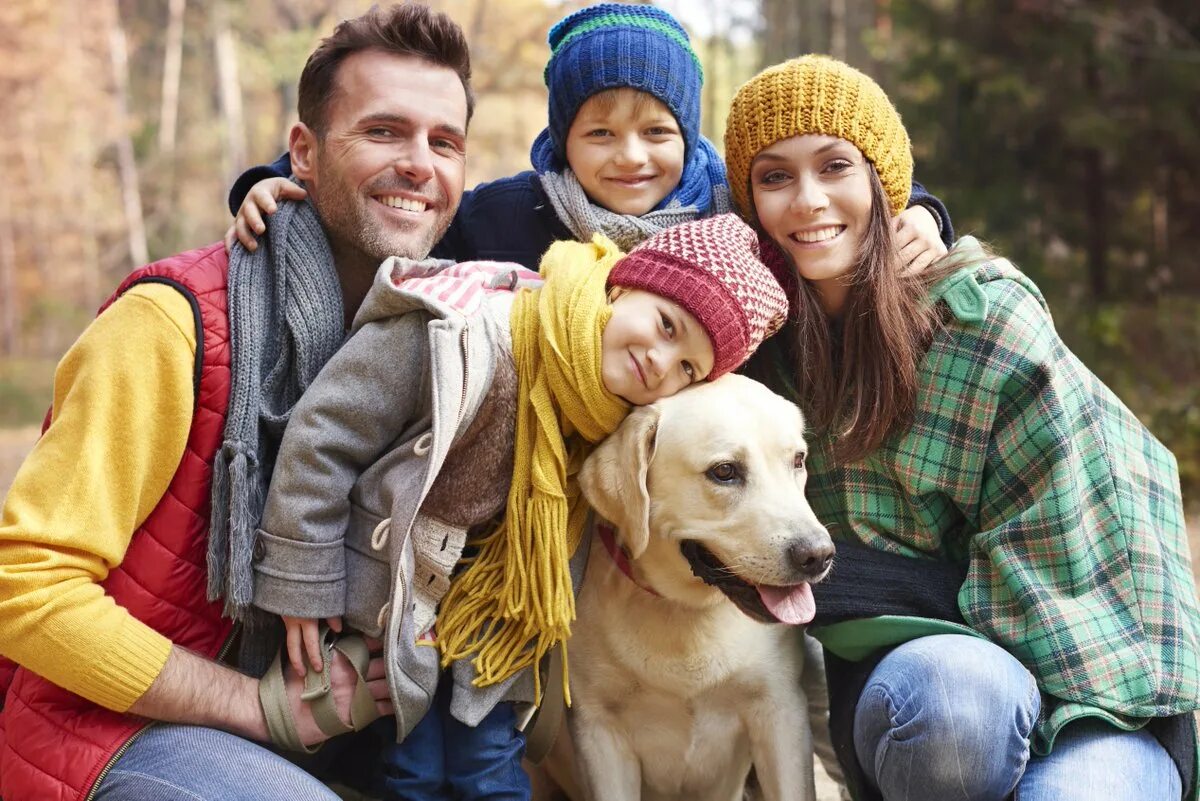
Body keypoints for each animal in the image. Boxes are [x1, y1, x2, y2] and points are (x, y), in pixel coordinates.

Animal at [544, 374, 835, 801]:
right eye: (725, 471)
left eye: (797, 460)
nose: (818, 555)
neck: (686, 612)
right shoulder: (599, 732)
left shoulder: (781, 712)